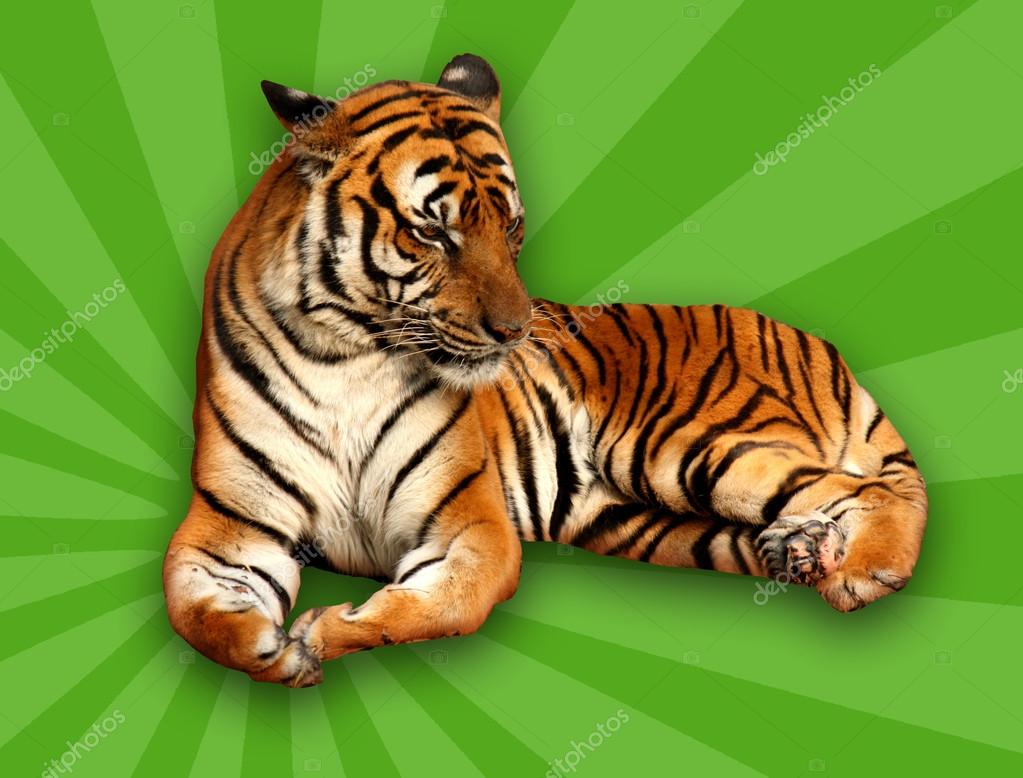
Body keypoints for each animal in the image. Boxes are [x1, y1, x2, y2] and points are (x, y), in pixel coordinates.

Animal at [163, 54, 928, 687]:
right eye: (432, 230)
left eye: (510, 227)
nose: (514, 332)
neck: (347, 356)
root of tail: (815, 343)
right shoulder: (231, 525)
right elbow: (190, 610)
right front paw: (271, 649)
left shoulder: (467, 521)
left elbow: (445, 604)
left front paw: (323, 633)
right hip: (637, 520)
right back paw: (799, 552)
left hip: (684, 445)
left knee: (872, 490)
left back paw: (863, 570)